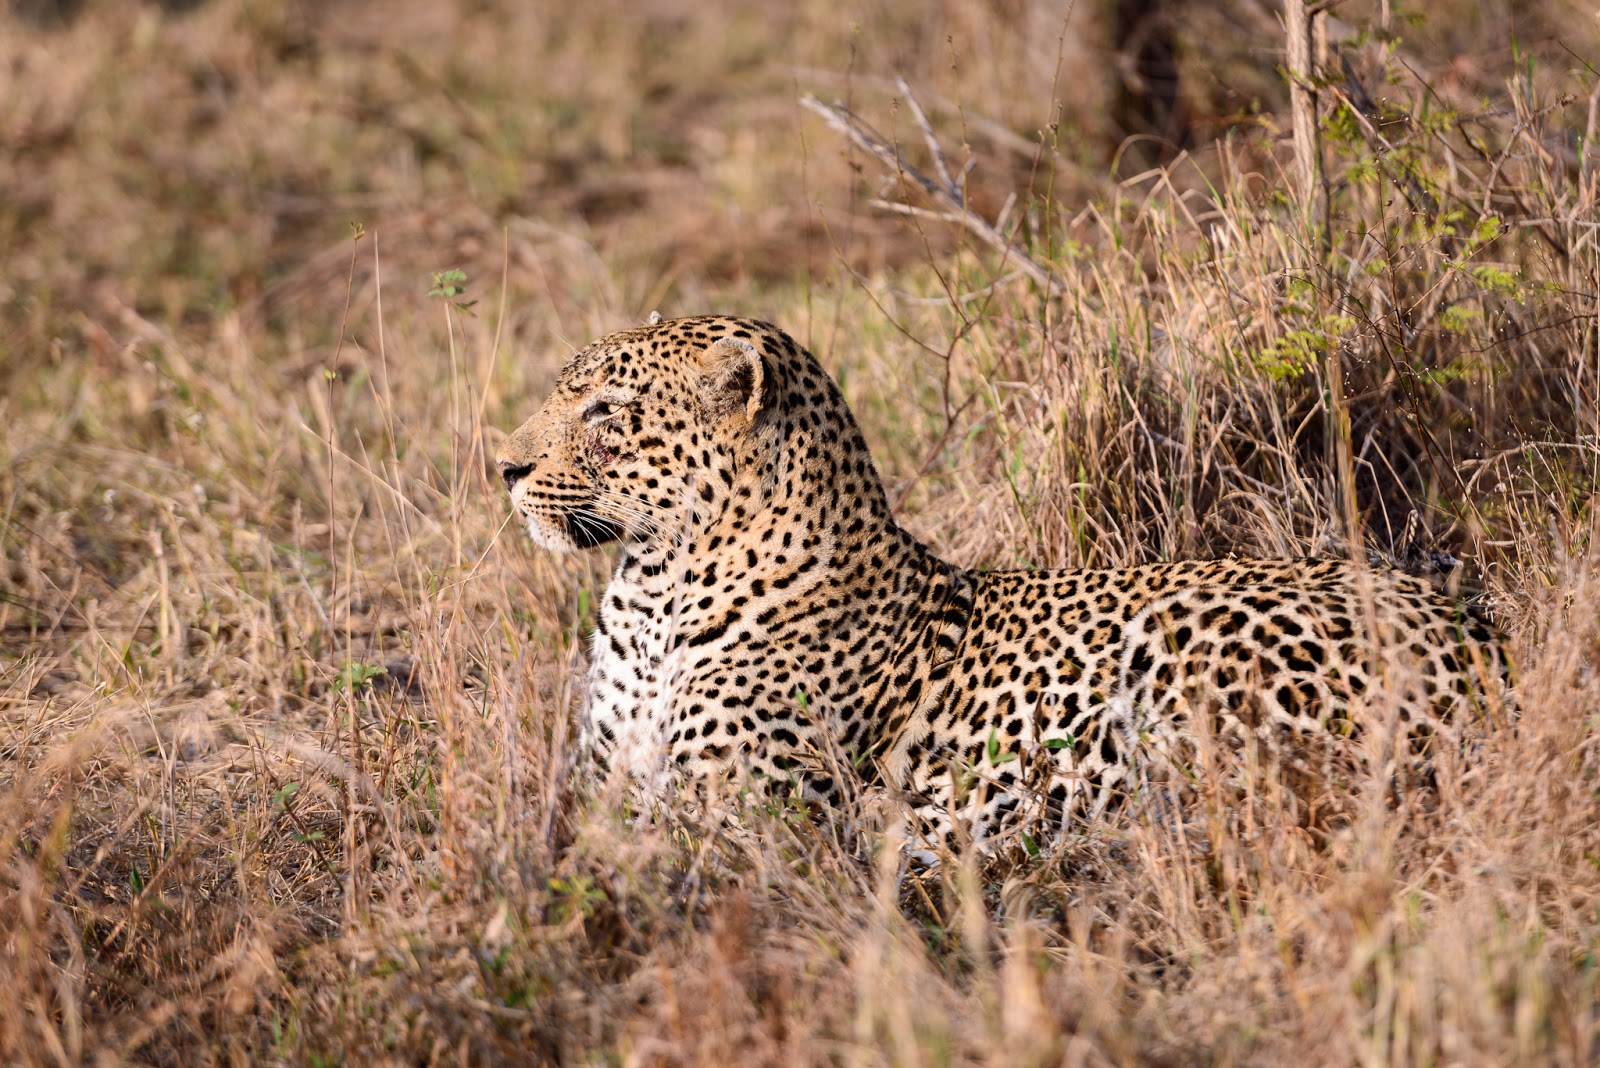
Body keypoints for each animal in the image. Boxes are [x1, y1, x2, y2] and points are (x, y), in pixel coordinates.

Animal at [496, 314, 1511, 851]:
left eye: (606, 413)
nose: (503, 467)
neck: (654, 597)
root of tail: (1477, 640)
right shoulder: (600, 783)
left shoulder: (735, 814)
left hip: (1185, 656)